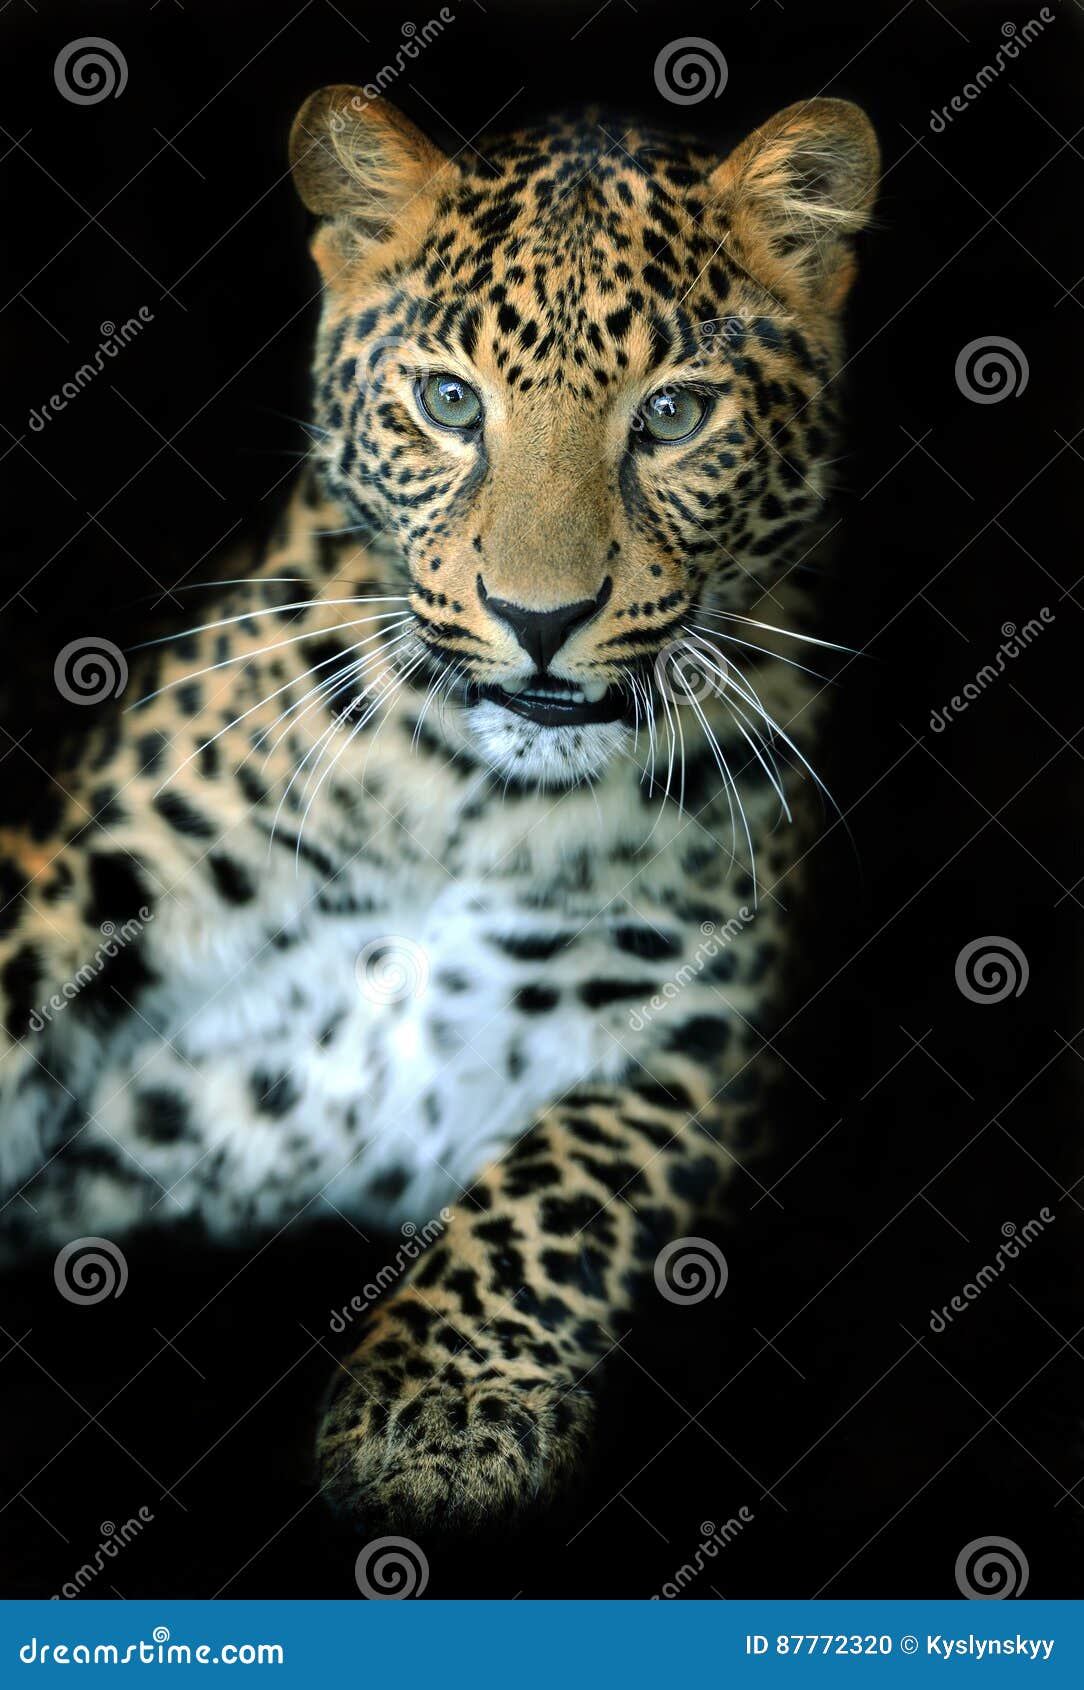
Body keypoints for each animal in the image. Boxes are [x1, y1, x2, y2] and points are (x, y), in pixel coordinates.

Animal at [0, 89, 879, 1535]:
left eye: (674, 414)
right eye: (451, 402)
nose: (539, 618)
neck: (469, 795)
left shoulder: (690, 1045)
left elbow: (564, 1184)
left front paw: (440, 1411)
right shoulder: (91, 879)